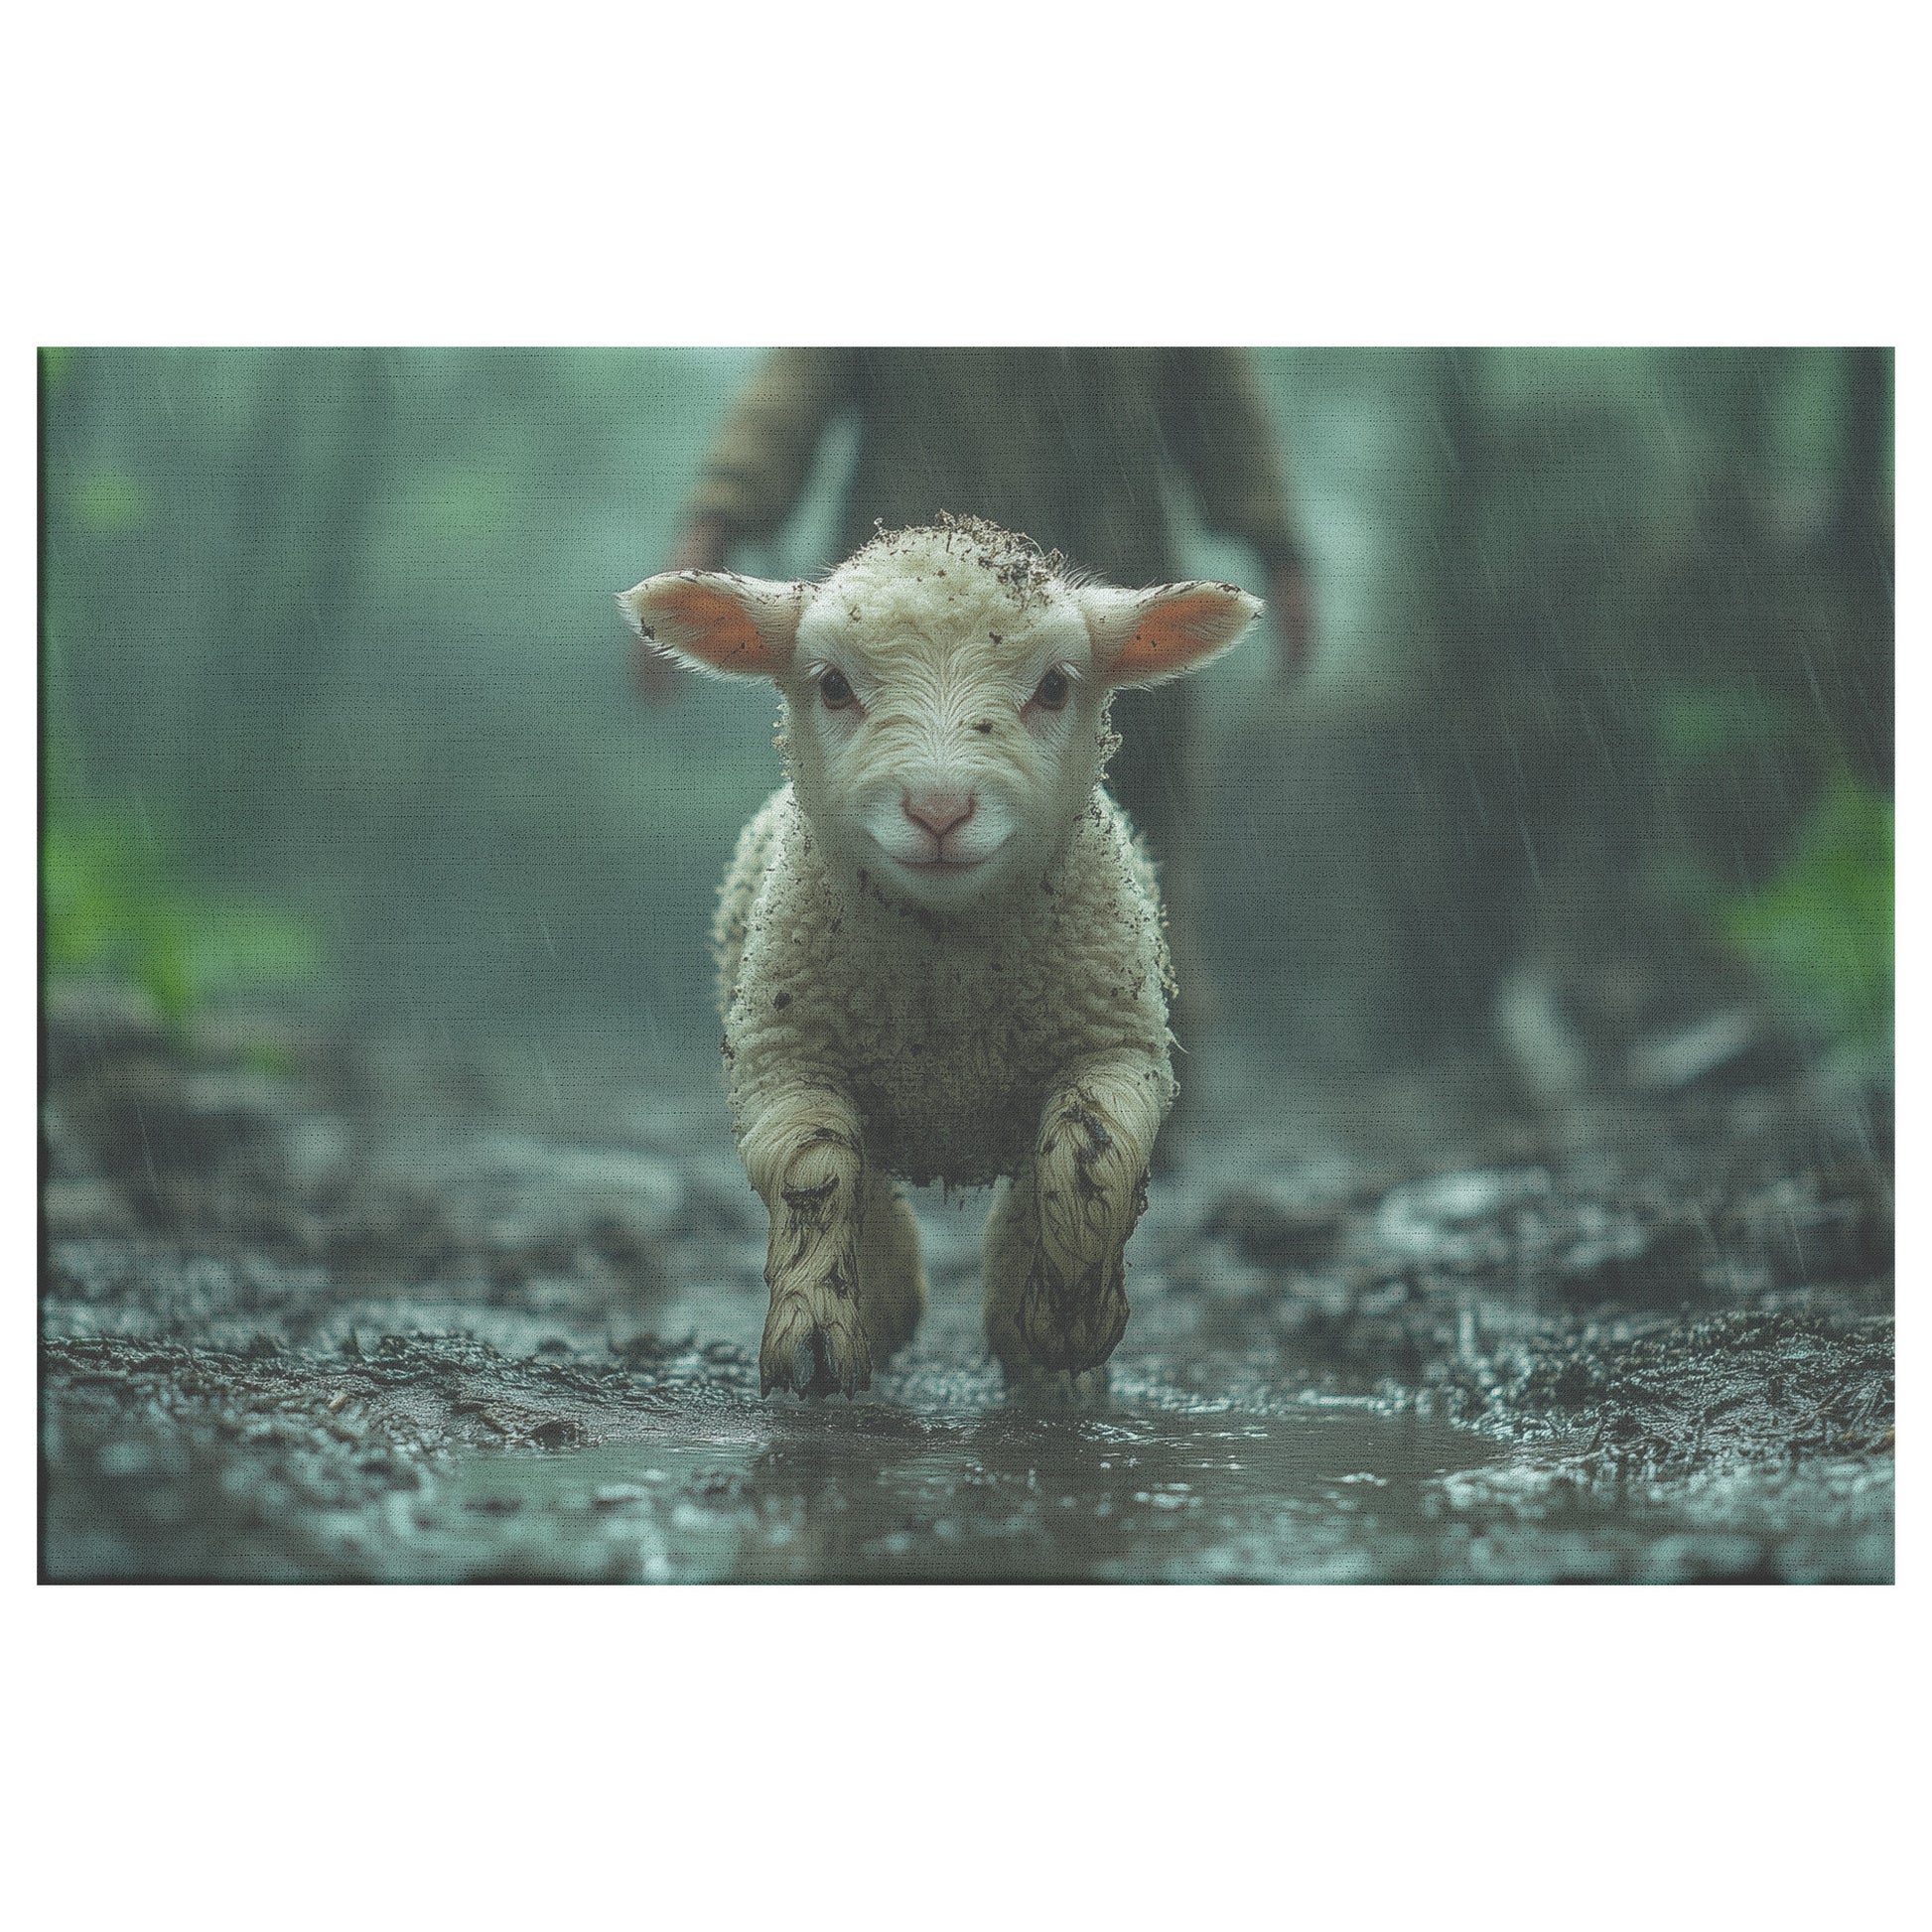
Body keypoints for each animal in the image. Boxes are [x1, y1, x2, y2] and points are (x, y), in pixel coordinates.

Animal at [617, 515, 1261, 1398]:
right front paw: (816, 1336)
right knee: (867, 1186)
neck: (947, 981)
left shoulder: (1118, 1048)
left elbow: (1090, 1158)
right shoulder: (782, 1062)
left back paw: (1033, 1346)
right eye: (832, 685)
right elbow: (813, 1171)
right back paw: (891, 1308)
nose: (939, 808)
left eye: (1054, 687)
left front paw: (1067, 1324)